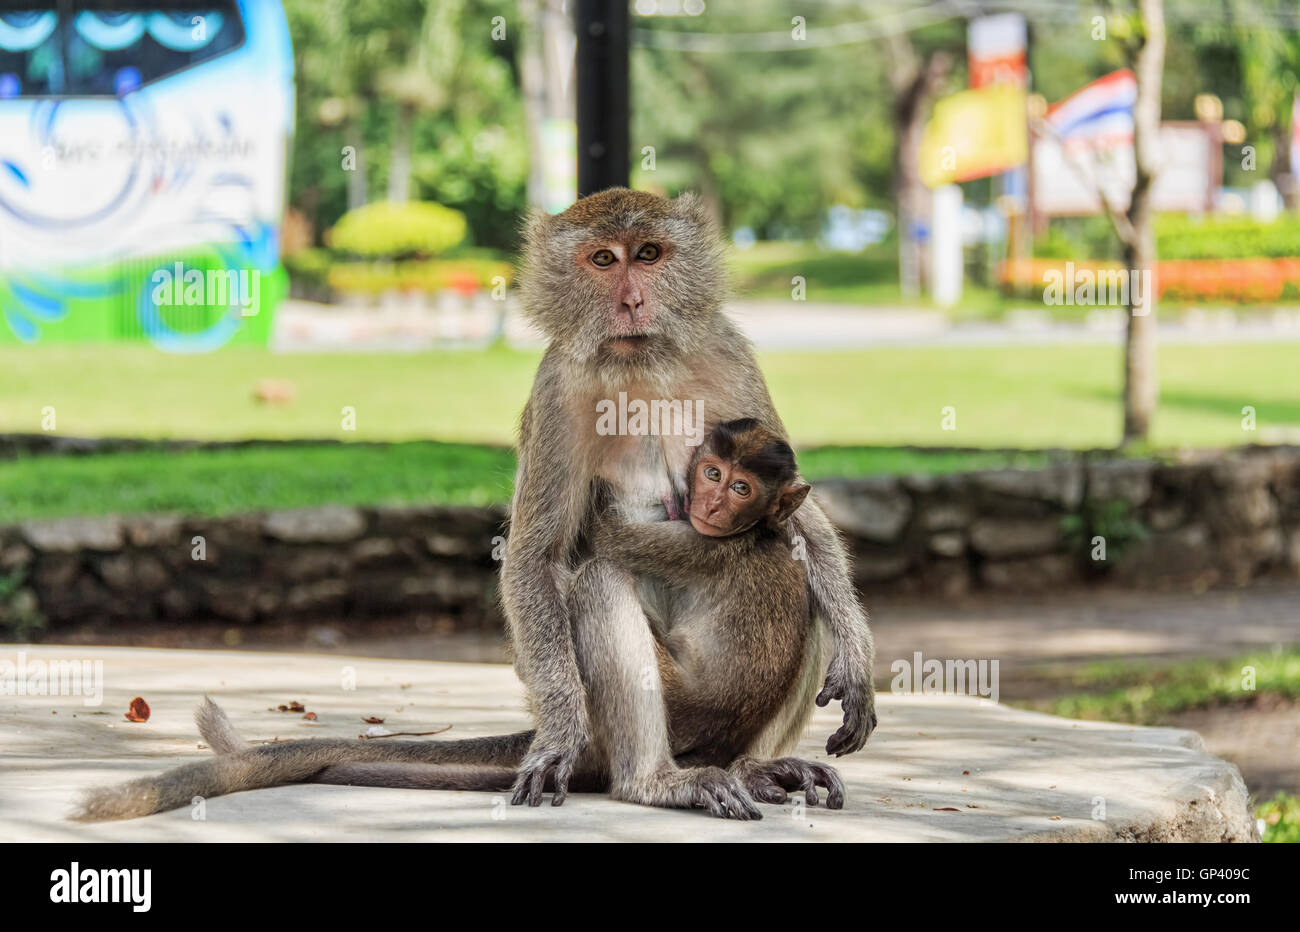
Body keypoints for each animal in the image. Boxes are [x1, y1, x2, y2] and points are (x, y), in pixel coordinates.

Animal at [73, 188, 875, 822]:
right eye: (603, 262)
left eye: (649, 253)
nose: (633, 300)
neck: (641, 365)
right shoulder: (556, 391)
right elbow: (540, 555)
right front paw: (559, 740)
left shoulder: (727, 355)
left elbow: (799, 518)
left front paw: (858, 656)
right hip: (637, 711)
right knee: (598, 585)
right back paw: (649, 781)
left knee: (789, 562)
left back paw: (749, 766)